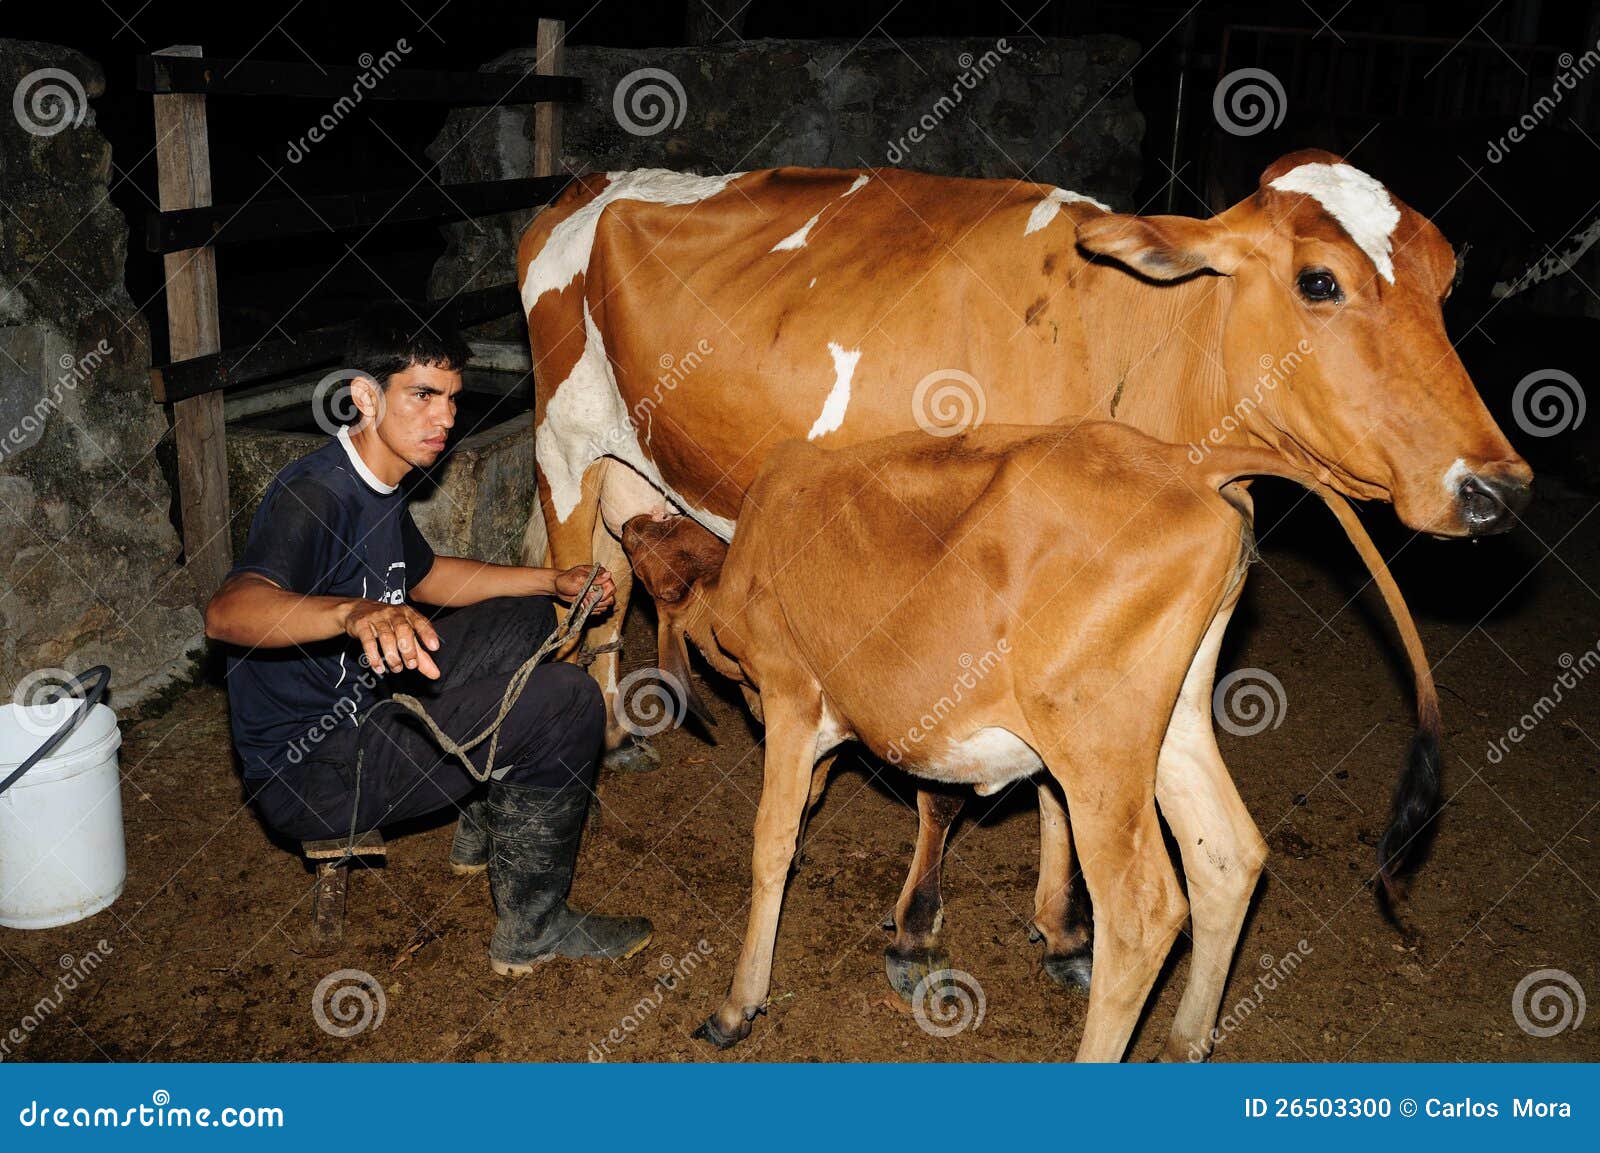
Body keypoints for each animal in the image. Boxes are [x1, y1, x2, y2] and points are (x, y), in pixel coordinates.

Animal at [516, 148, 1527, 996]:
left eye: (1447, 283)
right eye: (1321, 281)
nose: (1496, 487)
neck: (1123, 341)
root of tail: (591, 185)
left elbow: (1051, 792)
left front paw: (1064, 929)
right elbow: (942, 790)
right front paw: (917, 929)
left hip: (634, 467)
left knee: (619, 582)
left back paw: (623, 732)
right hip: (566, 449)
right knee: (578, 599)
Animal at [616, 422, 1440, 1060]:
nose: (626, 527)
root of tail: (1184, 460)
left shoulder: (792, 694)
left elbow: (772, 845)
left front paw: (737, 1004)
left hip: (1098, 748)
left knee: (1141, 911)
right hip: (1171, 726)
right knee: (1227, 858)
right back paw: (1184, 1041)